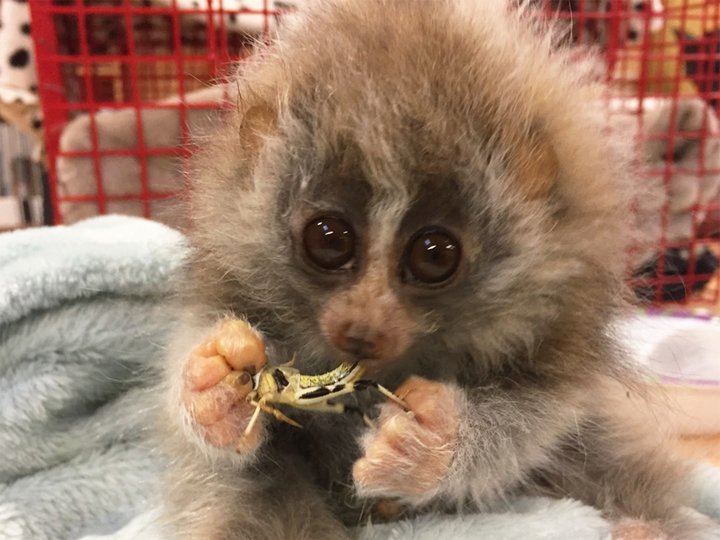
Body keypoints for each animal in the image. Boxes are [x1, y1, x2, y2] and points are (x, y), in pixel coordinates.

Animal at [155, 0, 717, 538]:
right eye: (328, 239)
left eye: (434, 255)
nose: (362, 329)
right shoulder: (228, 275)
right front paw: (212, 384)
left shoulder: (563, 324)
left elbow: (539, 417)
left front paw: (430, 442)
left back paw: (648, 529)